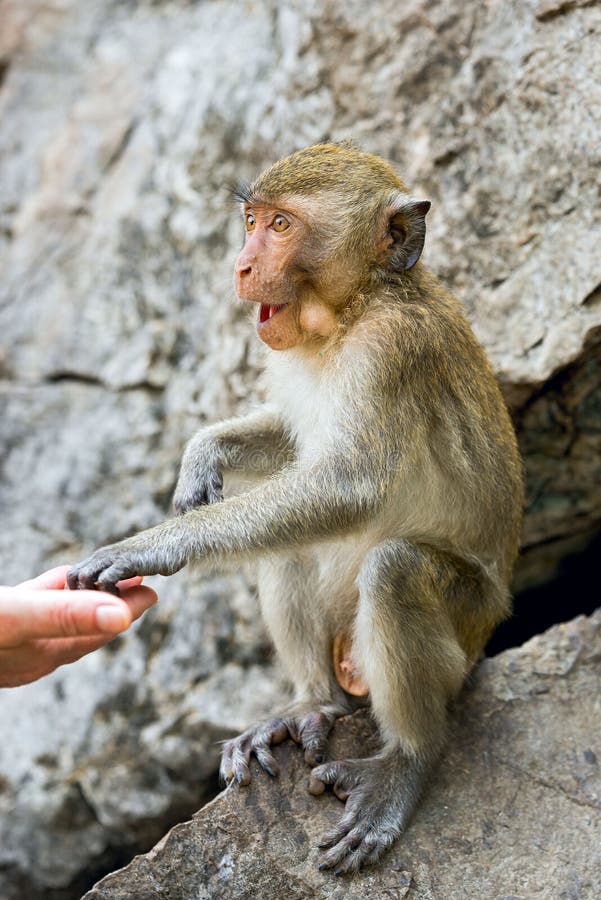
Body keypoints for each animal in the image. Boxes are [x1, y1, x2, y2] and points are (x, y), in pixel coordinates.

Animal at [68, 142, 523, 874]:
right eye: (252, 220)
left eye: (281, 226)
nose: (241, 265)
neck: (351, 310)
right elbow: (292, 443)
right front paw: (202, 454)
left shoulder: (390, 350)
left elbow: (348, 486)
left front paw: (154, 542)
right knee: (286, 541)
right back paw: (309, 704)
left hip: (471, 625)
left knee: (395, 570)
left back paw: (406, 761)